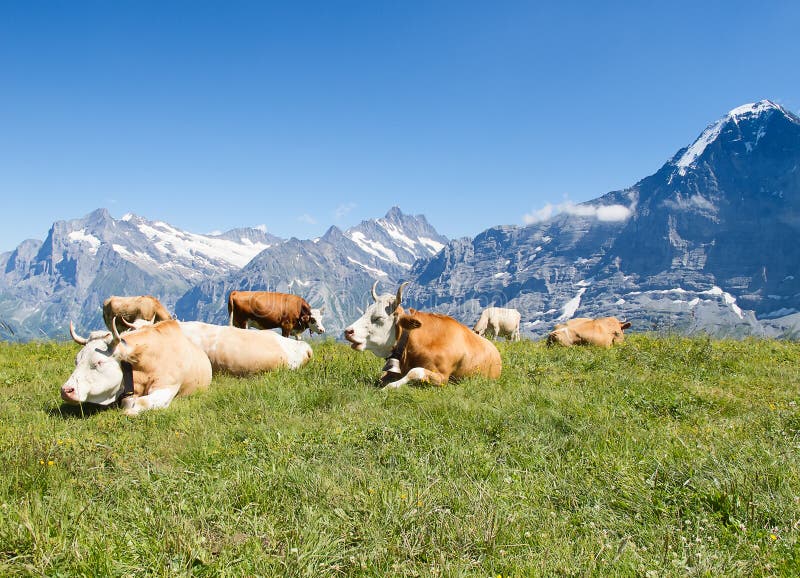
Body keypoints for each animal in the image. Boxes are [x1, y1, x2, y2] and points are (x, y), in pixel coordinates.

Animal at [343, 282, 502, 388]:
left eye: (378, 318)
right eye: (365, 312)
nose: (347, 331)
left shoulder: (443, 377)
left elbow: (414, 372)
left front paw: (390, 387)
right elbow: (382, 376)